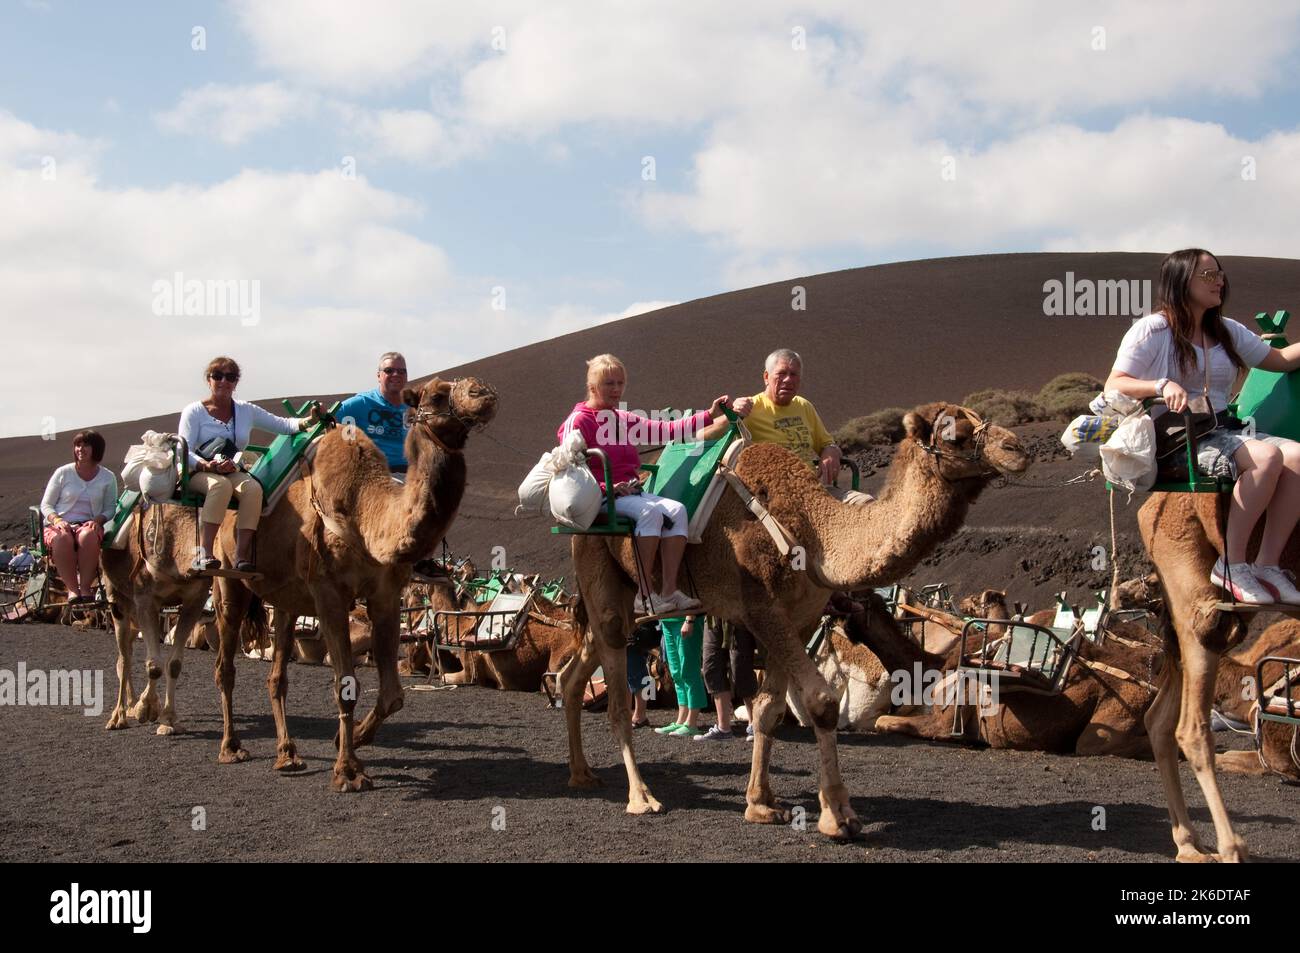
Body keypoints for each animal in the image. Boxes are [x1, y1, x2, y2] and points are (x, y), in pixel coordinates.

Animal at [212, 376, 497, 791]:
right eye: (435, 394)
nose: (482, 393)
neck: (368, 515)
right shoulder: (330, 595)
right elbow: (345, 686)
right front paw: (348, 771)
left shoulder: (386, 596)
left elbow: (393, 694)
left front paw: (348, 740)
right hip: (229, 581)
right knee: (225, 665)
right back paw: (231, 747)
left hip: (285, 600)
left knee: (276, 675)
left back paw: (288, 754)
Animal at [560, 402, 1030, 839]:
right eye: (954, 434)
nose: (1017, 448)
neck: (815, 533)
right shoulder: (762, 607)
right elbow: (821, 702)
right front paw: (838, 815)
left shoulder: (801, 617)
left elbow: (768, 708)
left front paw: (761, 803)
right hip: (600, 570)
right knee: (617, 696)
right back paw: (641, 797)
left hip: (624, 602)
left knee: (573, 673)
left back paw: (581, 774)